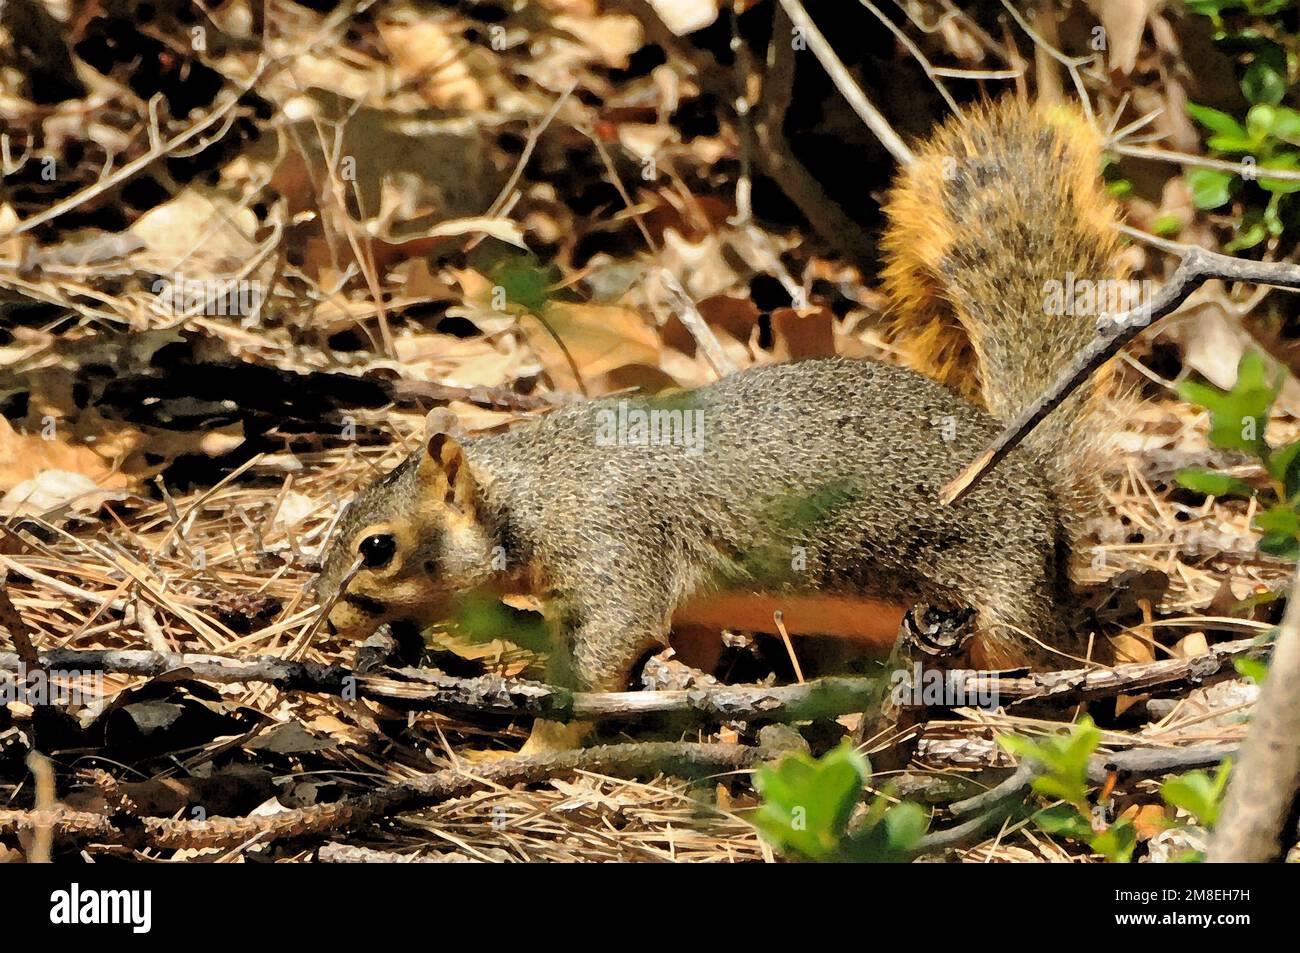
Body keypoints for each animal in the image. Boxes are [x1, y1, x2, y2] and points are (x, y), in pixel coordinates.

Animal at [316, 97, 1124, 750]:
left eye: (377, 548)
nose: (328, 621)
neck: (537, 490)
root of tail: (1037, 482)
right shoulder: (686, 600)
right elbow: (685, 647)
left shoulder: (614, 550)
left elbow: (597, 662)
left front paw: (525, 754)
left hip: (1007, 604)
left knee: (1053, 653)